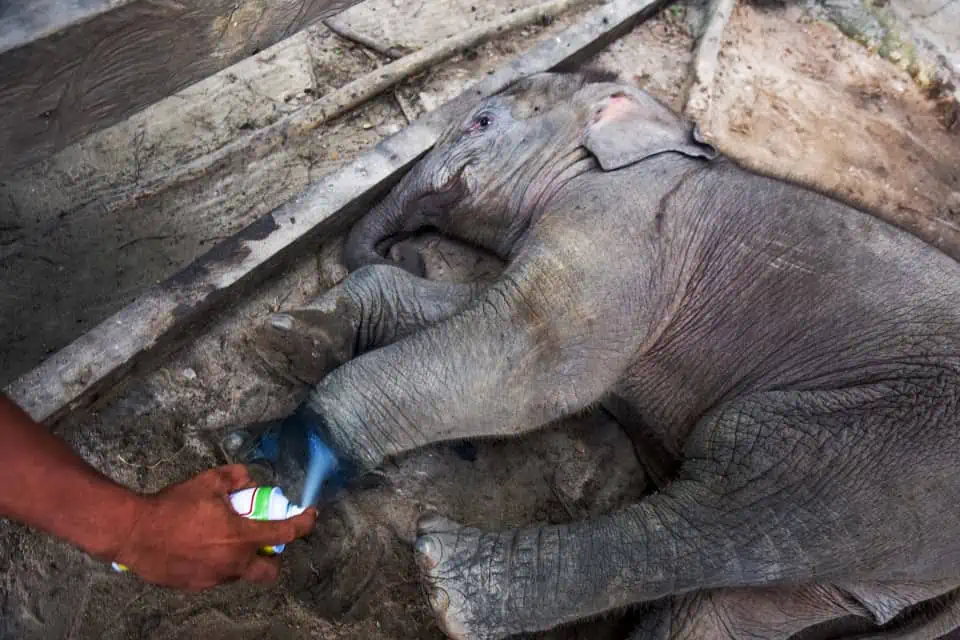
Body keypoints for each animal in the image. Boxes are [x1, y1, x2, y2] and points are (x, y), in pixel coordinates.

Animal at [239, 69, 960, 639]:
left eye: (481, 121)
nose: (406, 247)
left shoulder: (628, 222)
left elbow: (538, 348)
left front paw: (292, 459)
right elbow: (483, 311)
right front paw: (290, 338)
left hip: (900, 434)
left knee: (747, 476)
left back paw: (451, 584)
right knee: (734, 606)